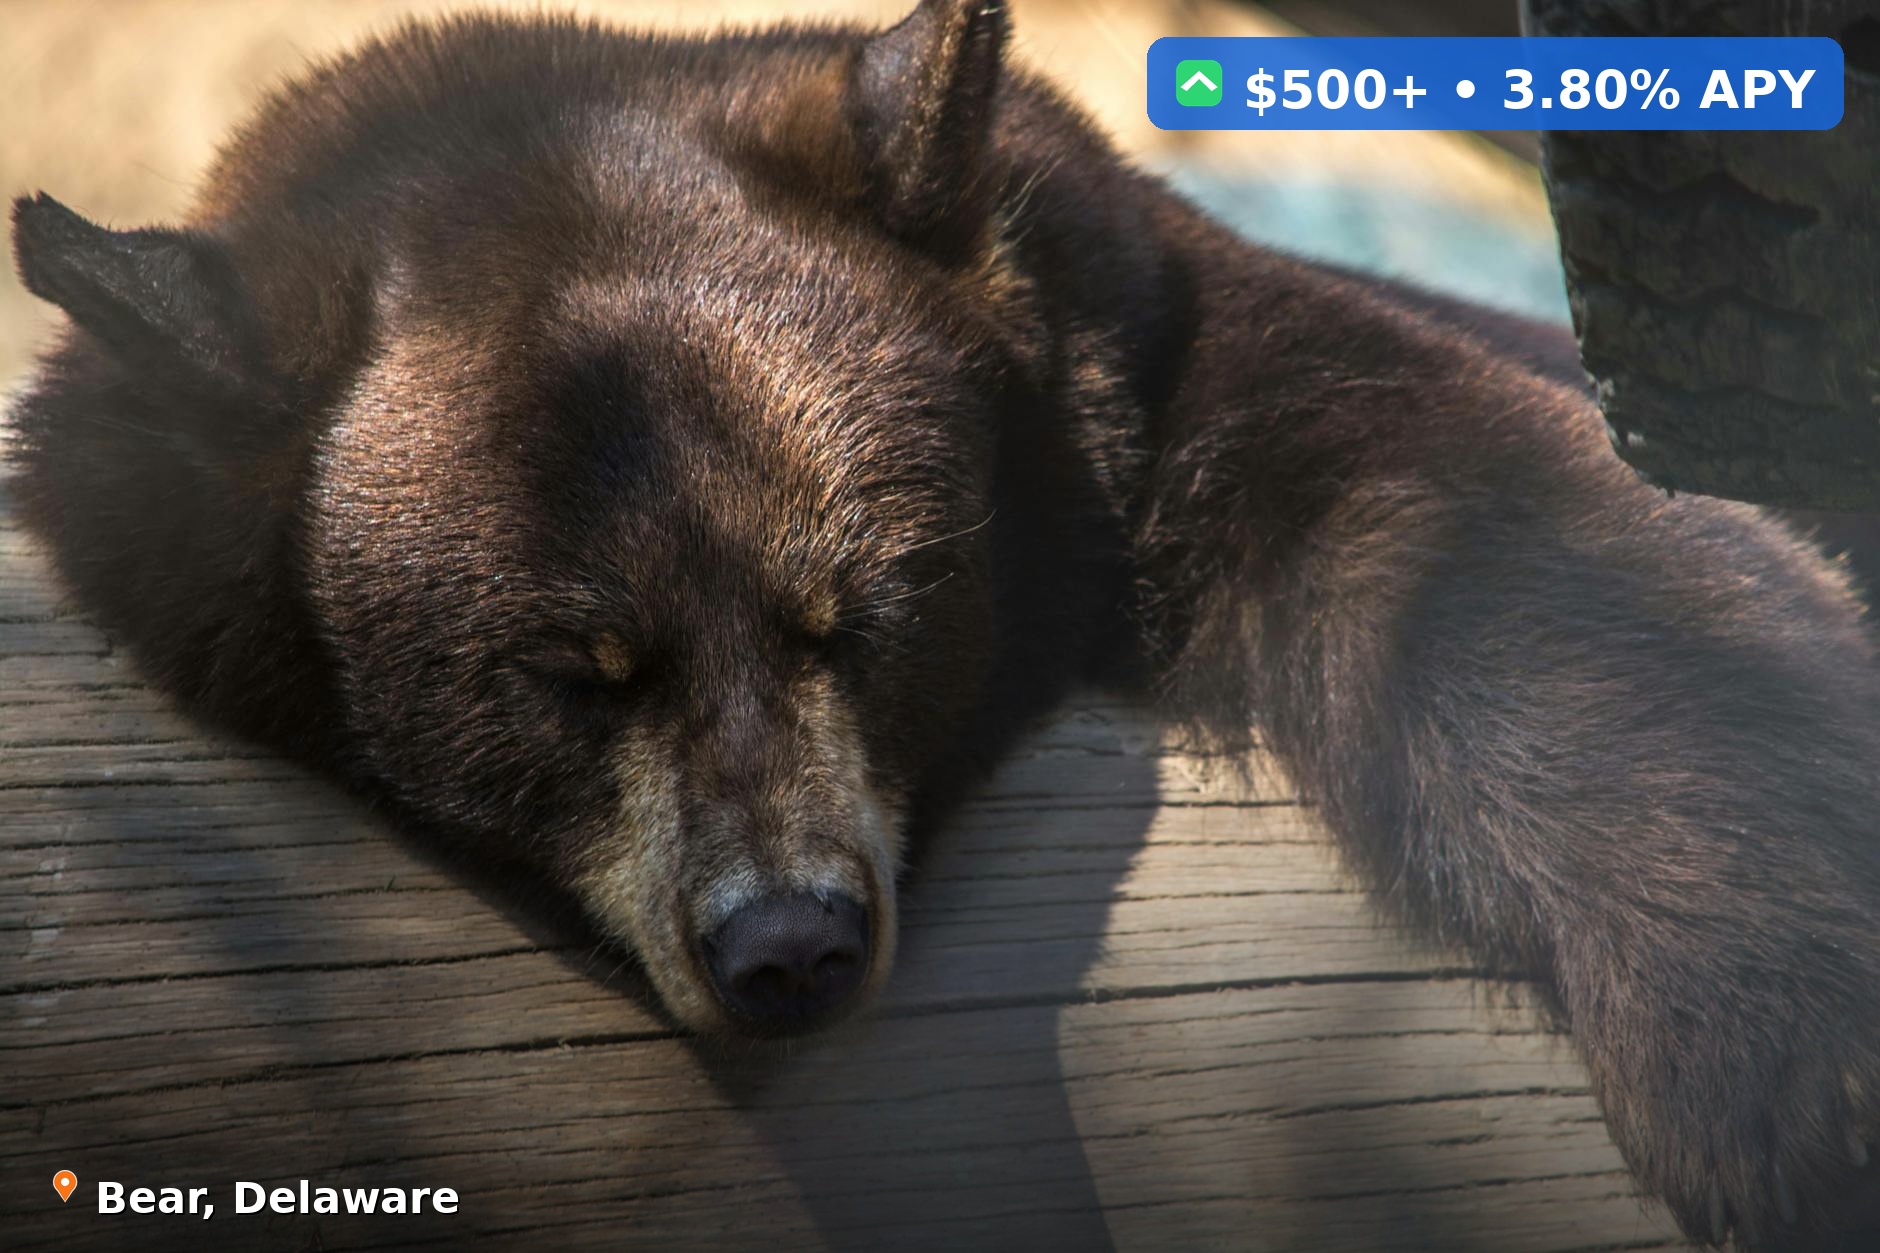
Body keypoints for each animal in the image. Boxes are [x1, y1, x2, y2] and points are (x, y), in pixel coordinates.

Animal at [7, 1, 1879, 1246]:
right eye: (571, 671)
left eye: (863, 606)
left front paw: (1787, 1055)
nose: (789, 943)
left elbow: (1486, 505)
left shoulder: (1141, 352)